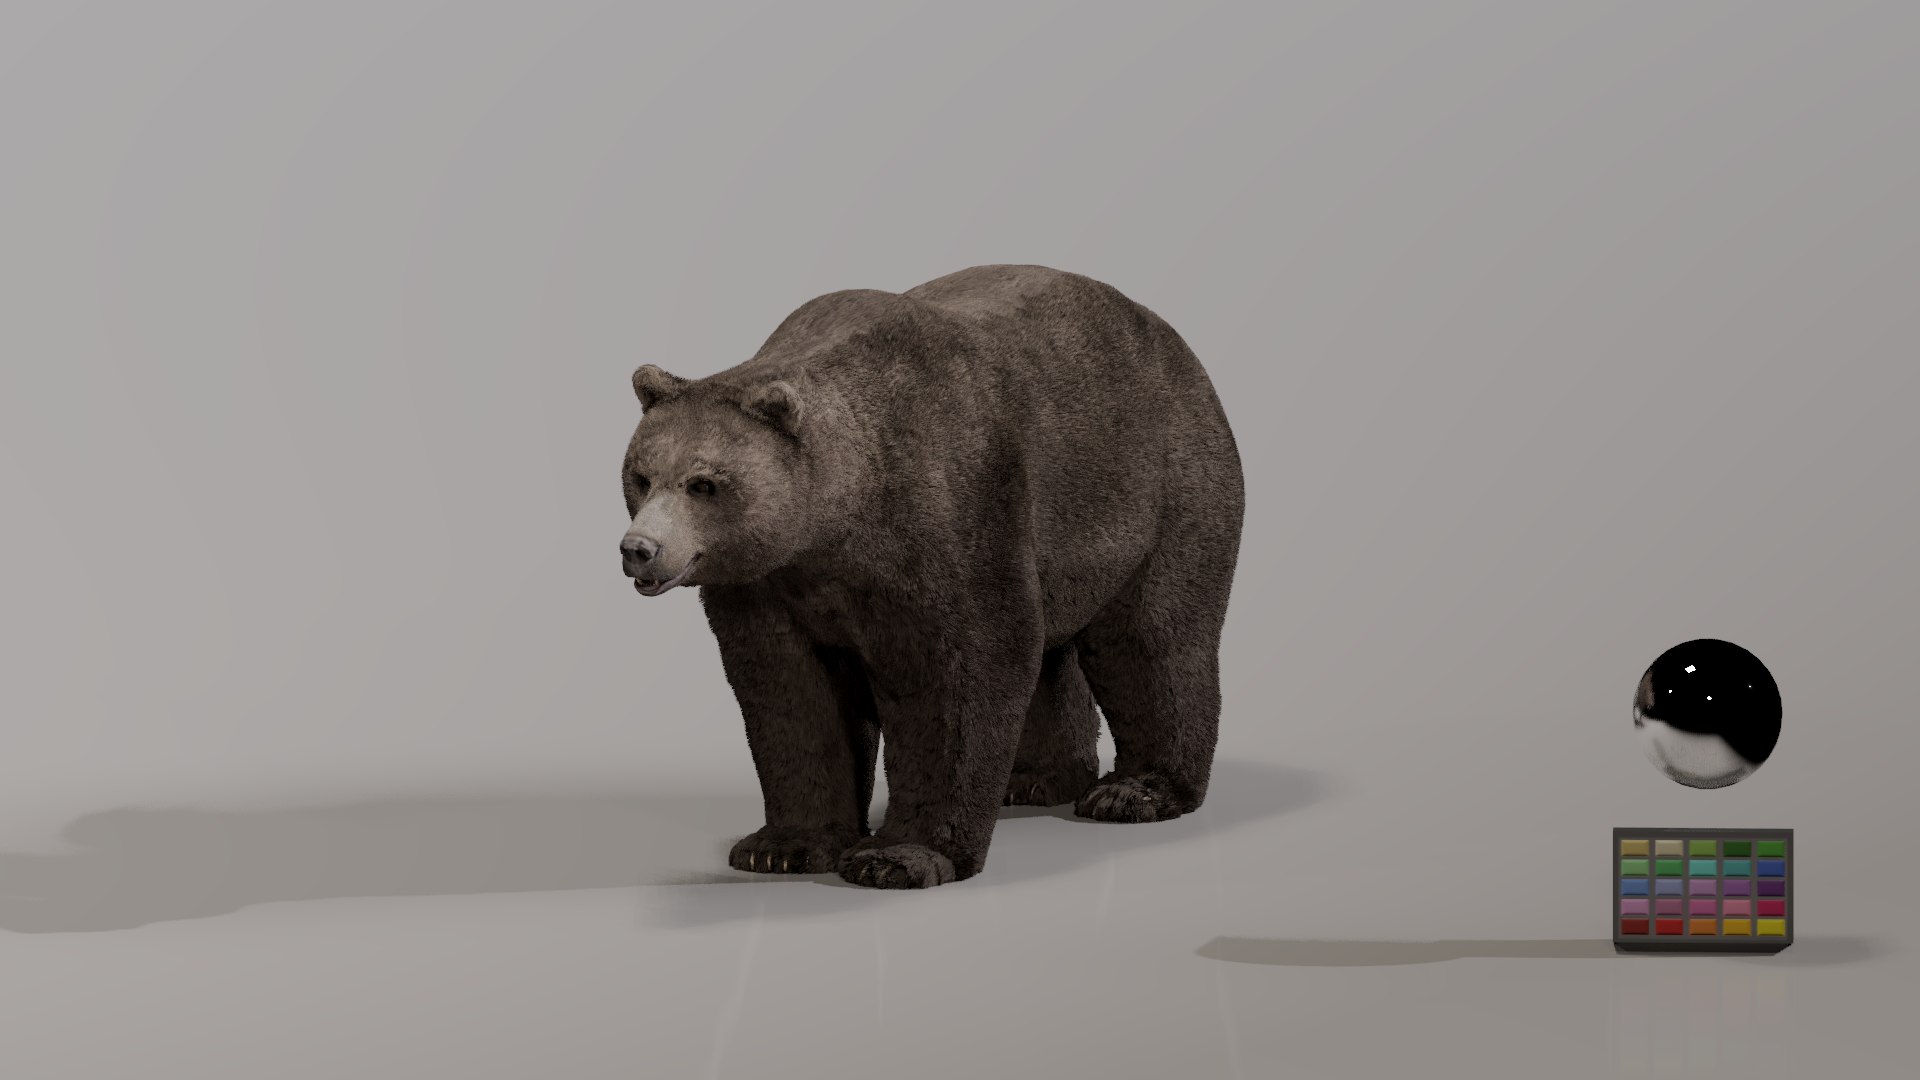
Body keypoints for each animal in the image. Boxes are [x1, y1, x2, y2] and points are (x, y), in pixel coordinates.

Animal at [619, 264, 1244, 889]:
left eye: (703, 483)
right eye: (641, 476)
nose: (639, 550)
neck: (835, 523)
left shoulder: (950, 516)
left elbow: (960, 672)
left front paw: (898, 856)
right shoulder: (766, 582)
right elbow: (789, 690)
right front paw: (782, 847)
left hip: (1160, 486)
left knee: (1151, 638)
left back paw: (1135, 791)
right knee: (1052, 651)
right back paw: (1035, 779)